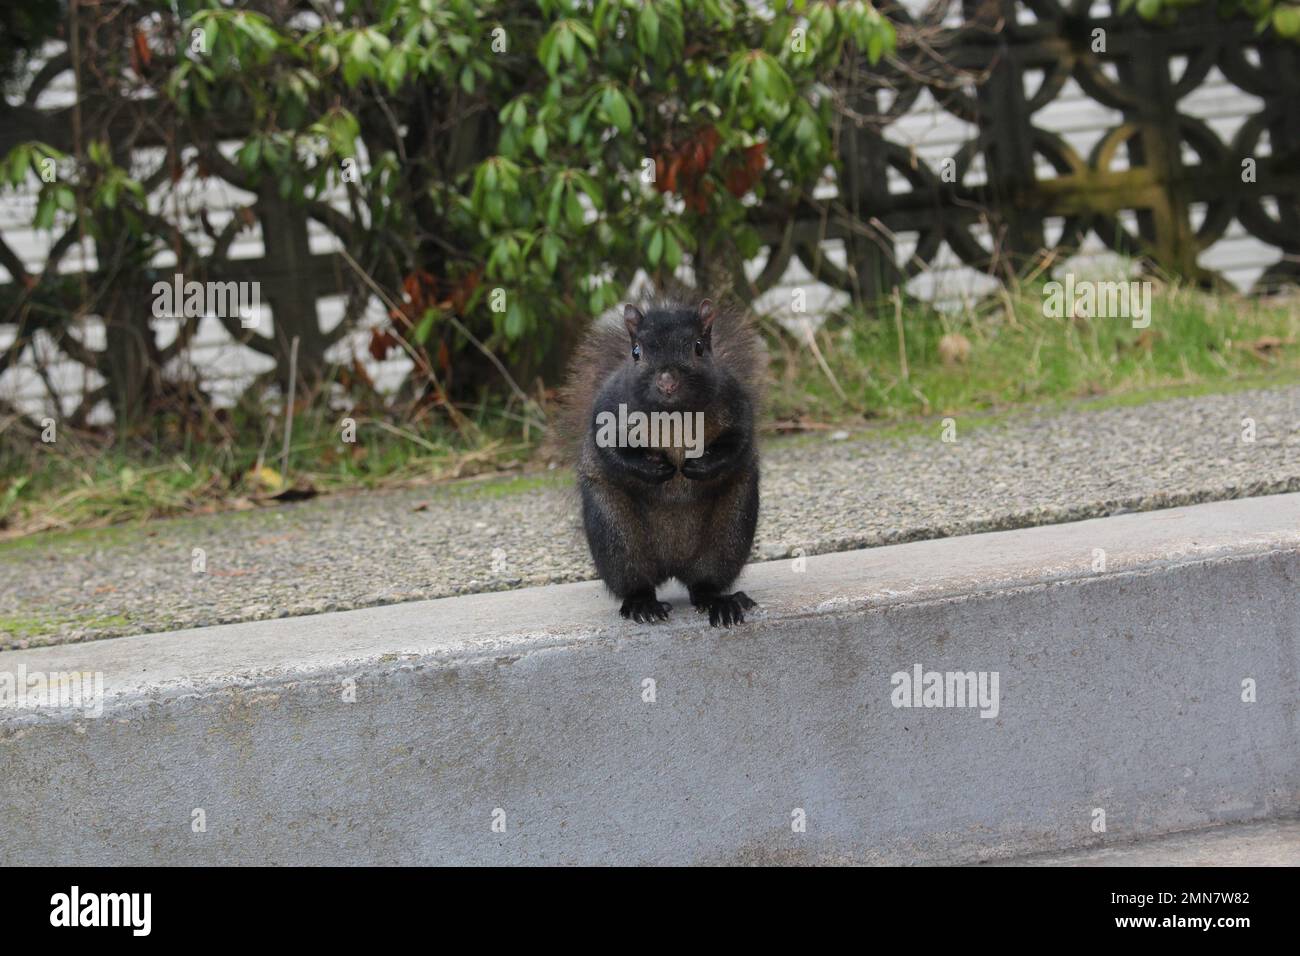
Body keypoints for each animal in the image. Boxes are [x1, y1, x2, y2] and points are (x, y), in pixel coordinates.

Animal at [557, 294, 764, 626]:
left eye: (698, 347)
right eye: (636, 352)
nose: (667, 382)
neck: (674, 415)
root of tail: (672, 566)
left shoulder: (736, 404)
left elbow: (737, 442)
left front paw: (698, 465)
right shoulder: (608, 410)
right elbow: (612, 451)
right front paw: (656, 468)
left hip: (729, 533)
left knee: (704, 584)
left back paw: (720, 602)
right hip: (616, 535)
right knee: (636, 580)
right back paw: (643, 604)